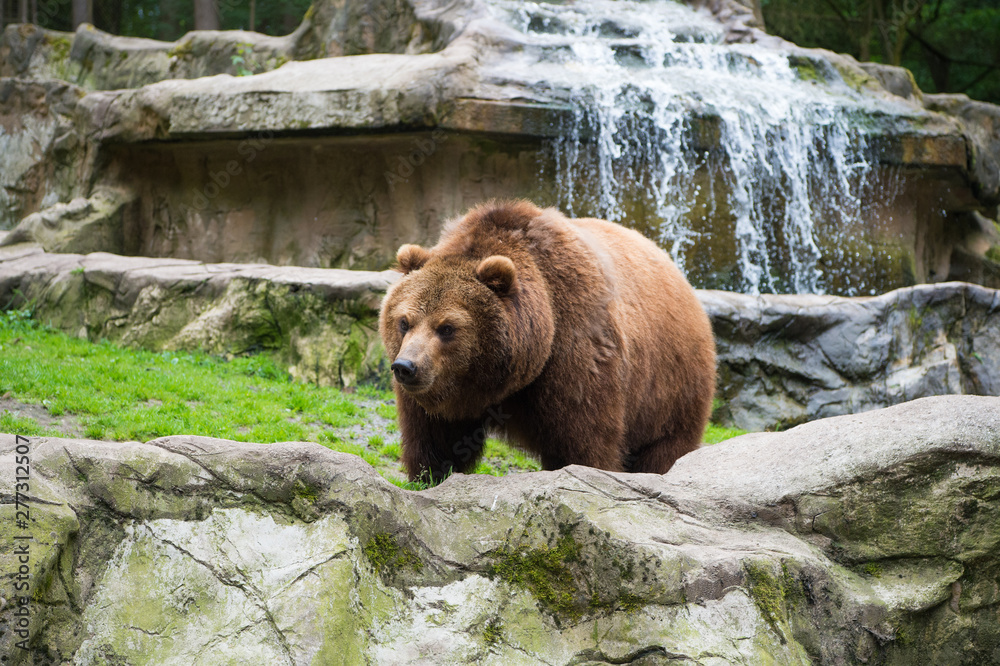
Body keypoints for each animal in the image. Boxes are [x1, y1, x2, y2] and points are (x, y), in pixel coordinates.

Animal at [378, 200, 716, 483]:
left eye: (447, 327)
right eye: (404, 322)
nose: (406, 366)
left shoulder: (576, 350)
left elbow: (583, 440)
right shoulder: (435, 396)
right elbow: (434, 438)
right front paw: (429, 477)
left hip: (669, 385)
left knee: (665, 445)